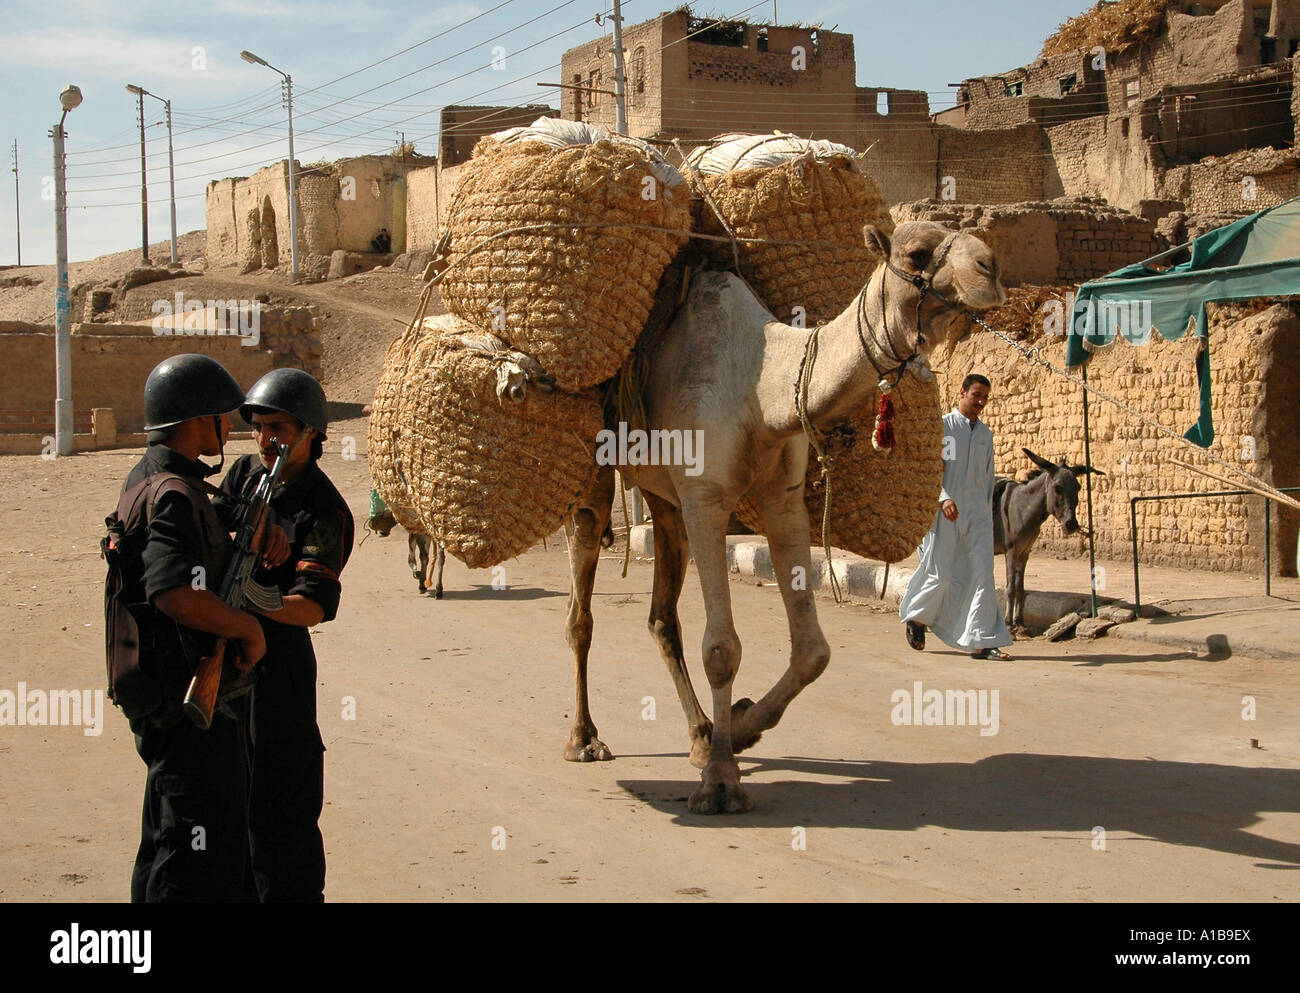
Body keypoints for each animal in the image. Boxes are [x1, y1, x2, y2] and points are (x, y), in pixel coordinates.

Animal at [563, 221, 1007, 813]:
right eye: (916, 253)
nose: (991, 269)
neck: (764, 389)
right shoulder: (705, 496)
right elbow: (722, 648)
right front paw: (721, 784)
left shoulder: (782, 498)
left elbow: (813, 651)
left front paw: (741, 727)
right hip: (595, 474)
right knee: (581, 605)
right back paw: (585, 739)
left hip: (664, 498)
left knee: (661, 616)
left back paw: (701, 735)